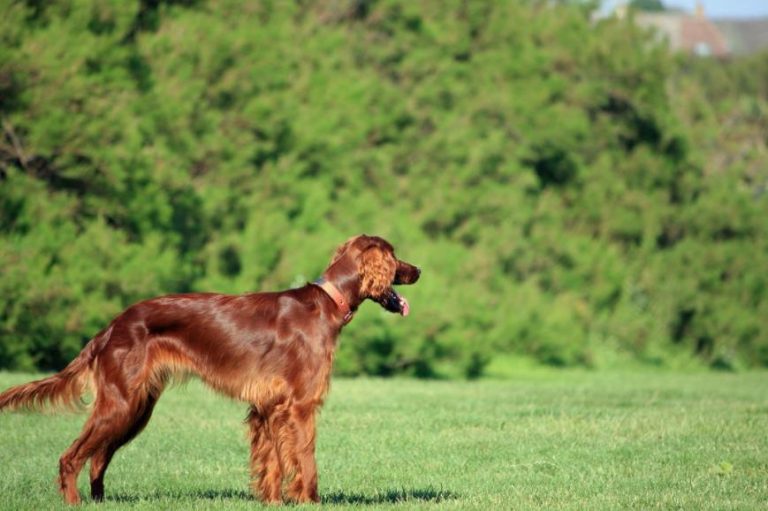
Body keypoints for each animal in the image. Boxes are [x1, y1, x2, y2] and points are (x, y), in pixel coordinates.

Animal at [0, 235, 420, 504]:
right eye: (395, 255)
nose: (417, 270)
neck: (327, 303)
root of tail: (113, 325)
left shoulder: (268, 407)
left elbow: (271, 463)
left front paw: (272, 501)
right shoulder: (299, 405)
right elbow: (305, 459)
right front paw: (310, 501)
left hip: (134, 406)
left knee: (99, 459)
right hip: (121, 402)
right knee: (72, 457)